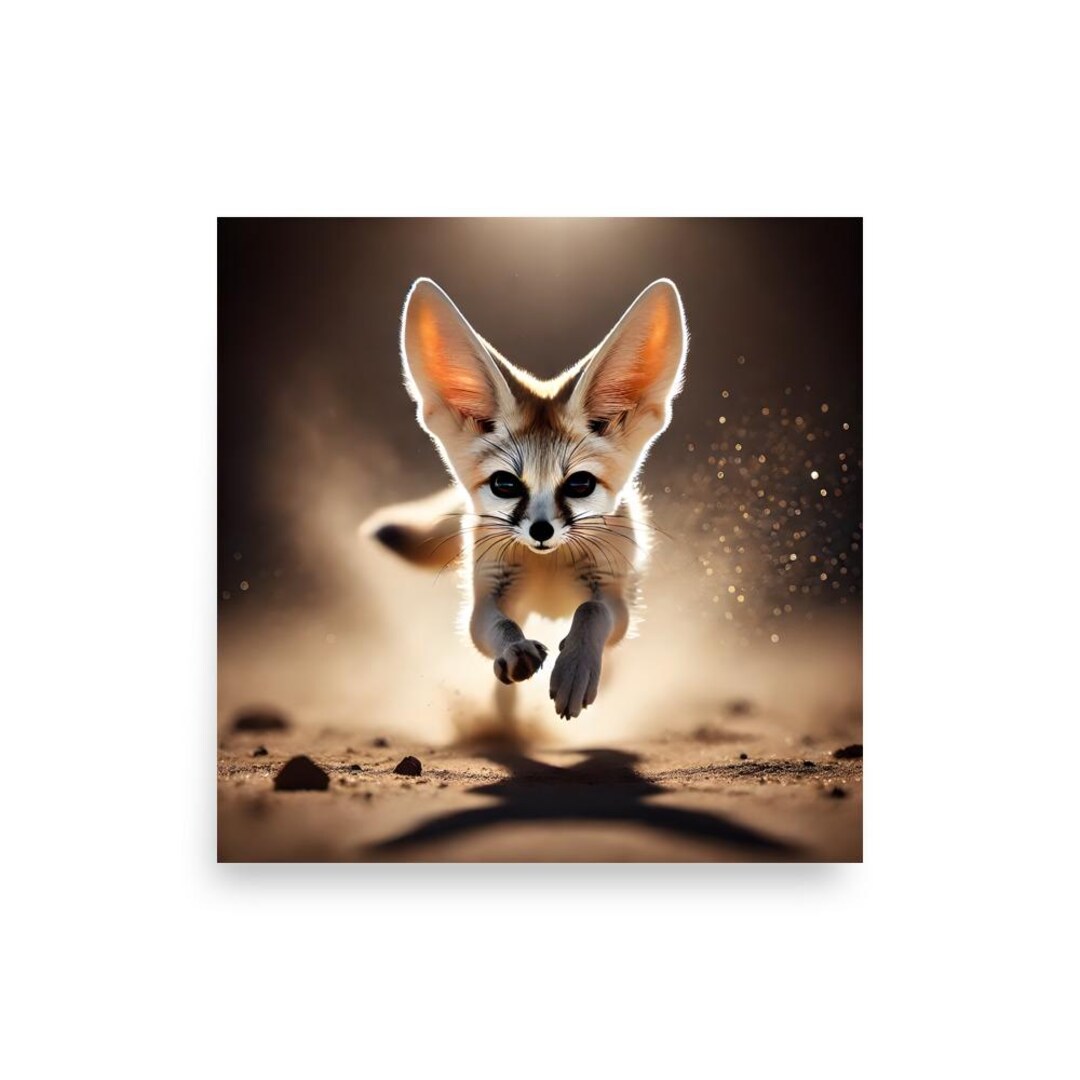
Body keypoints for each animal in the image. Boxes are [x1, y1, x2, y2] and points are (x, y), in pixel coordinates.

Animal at [365, 277, 688, 719]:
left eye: (580, 484)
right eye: (505, 484)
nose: (541, 531)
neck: (547, 565)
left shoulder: (614, 596)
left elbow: (590, 611)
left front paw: (574, 670)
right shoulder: (487, 595)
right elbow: (498, 627)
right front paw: (516, 652)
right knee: (503, 691)